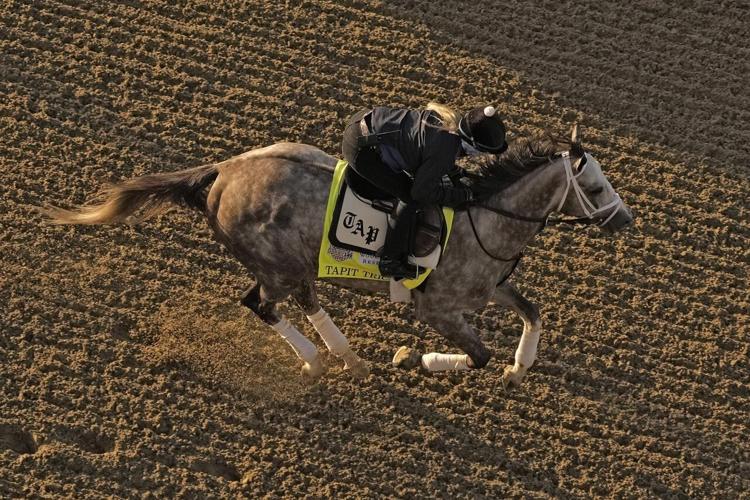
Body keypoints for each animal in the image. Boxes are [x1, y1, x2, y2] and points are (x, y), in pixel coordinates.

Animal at [41, 125, 633, 389]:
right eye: (595, 188)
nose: (626, 219)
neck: (484, 219)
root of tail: (223, 172)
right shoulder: (438, 309)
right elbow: (478, 354)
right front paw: (421, 359)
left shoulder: (489, 287)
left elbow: (534, 312)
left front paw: (521, 364)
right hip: (276, 266)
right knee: (261, 305)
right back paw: (320, 359)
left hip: (295, 263)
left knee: (301, 302)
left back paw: (346, 356)